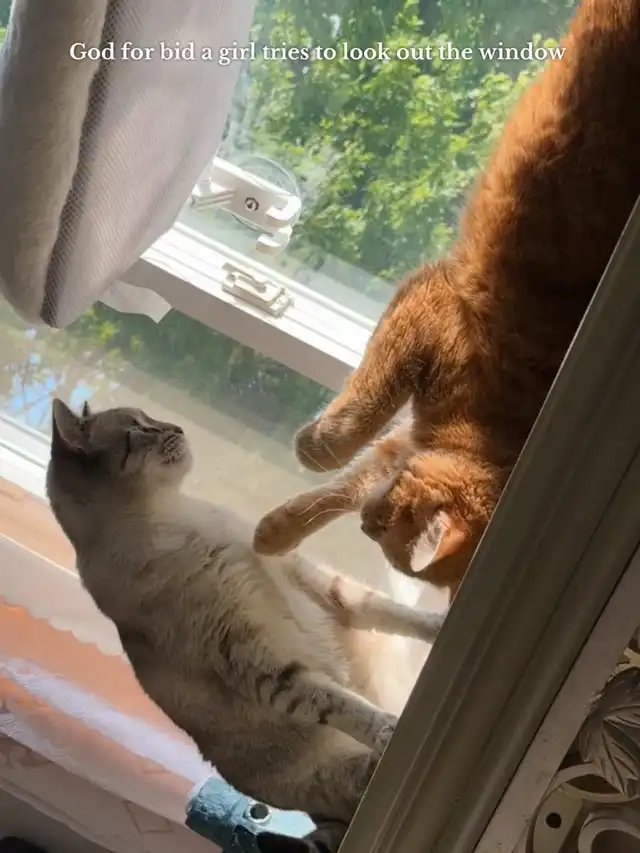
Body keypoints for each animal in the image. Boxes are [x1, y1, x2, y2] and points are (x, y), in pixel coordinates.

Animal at [46, 400, 444, 850]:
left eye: (151, 419)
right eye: (139, 428)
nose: (176, 428)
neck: (175, 517)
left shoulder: (314, 583)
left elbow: (391, 613)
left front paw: (440, 622)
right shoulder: (263, 666)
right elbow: (342, 703)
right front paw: (392, 727)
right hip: (341, 768)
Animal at [252, 0, 640, 598]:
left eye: (384, 539)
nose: (366, 525)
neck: (490, 439)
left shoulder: (404, 443)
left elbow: (341, 484)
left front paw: (278, 530)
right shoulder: (428, 312)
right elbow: (351, 427)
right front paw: (311, 447)